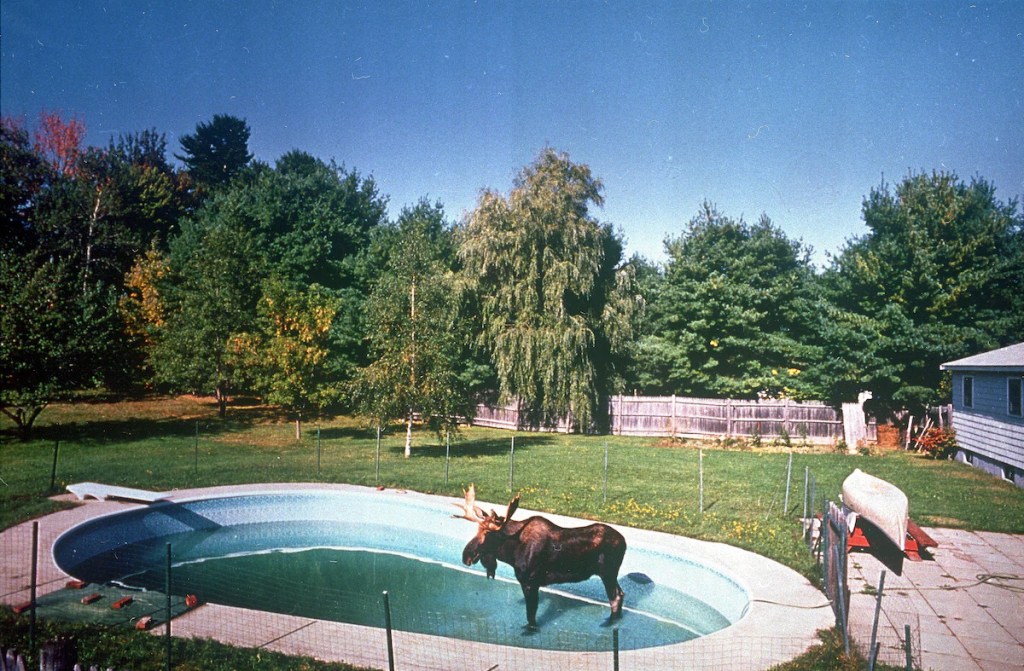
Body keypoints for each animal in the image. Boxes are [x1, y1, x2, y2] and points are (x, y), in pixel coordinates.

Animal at [453, 484, 626, 629]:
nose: (466, 555)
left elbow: (531, 614)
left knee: (615, 596)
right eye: (477, 530)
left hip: (608, 572)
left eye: (488, 534)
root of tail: (624, 541)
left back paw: (608, 622)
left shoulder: (530, 581)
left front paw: (530, 629)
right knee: (620, 594)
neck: (511, 553)